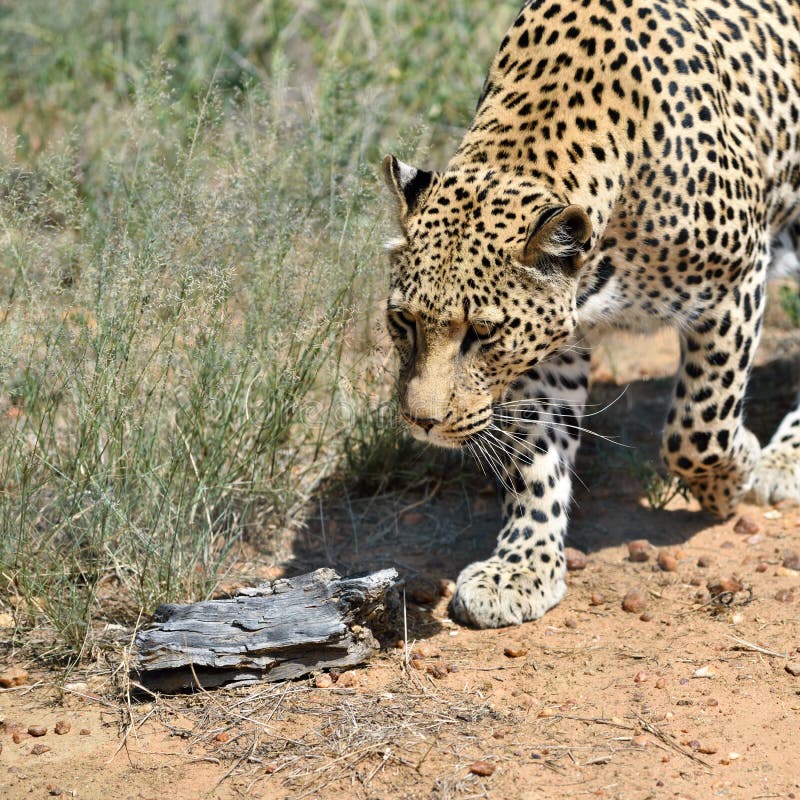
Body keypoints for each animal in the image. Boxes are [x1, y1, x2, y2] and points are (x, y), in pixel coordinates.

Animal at [381, 0, 800, 628]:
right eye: (402, 322)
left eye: (481, 334)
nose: (421, 422)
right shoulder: (551, 345)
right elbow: (538, 456)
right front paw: (522, 569)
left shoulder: (735, 281)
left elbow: (698, 425)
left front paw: (734, 474)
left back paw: (780, 461)